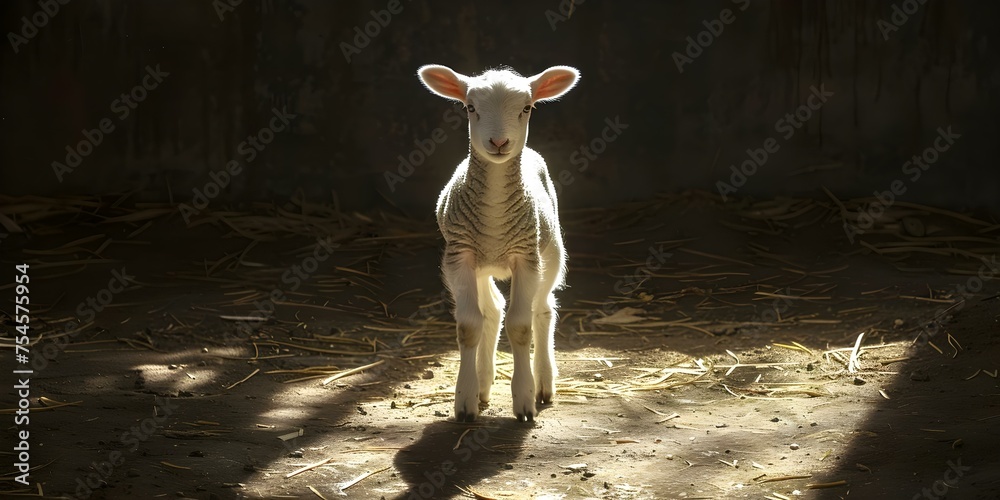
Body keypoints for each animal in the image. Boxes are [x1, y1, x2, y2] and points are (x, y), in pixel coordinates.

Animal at [416, 64, 579, 422]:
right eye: (470, 107)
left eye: (527, 108)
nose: (499, 142)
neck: (493, 214)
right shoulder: (459, 257)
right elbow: (469, 326)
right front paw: (465, 402)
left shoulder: (526, 257)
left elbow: (520, 327)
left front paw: (524, 400)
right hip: (481, 265)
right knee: (492, 309)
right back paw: (483, 384)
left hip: (551, 253)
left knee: (543, 309)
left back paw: (544, 383)